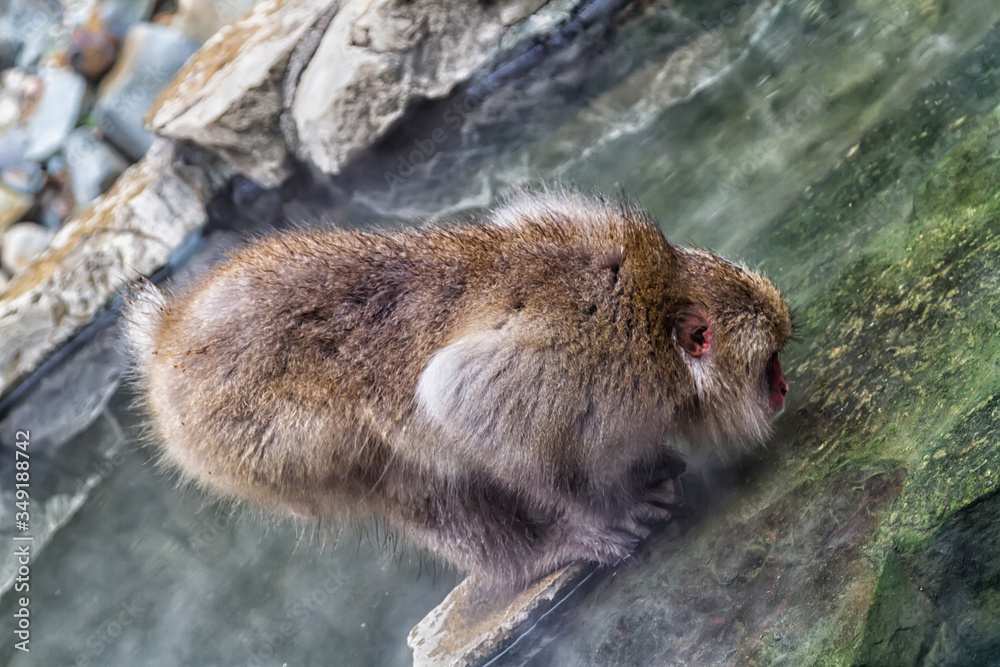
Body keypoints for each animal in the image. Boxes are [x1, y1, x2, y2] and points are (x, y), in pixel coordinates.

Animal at [124, 190, 792, 591]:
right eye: (771, 361)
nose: (784, 388)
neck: (653, 311)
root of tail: (166, 335)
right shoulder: (586, 354)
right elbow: (464, 403)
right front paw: (602, 511)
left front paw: (643, 465)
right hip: (254, 439)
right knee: (396, 472)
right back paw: (530, 558)